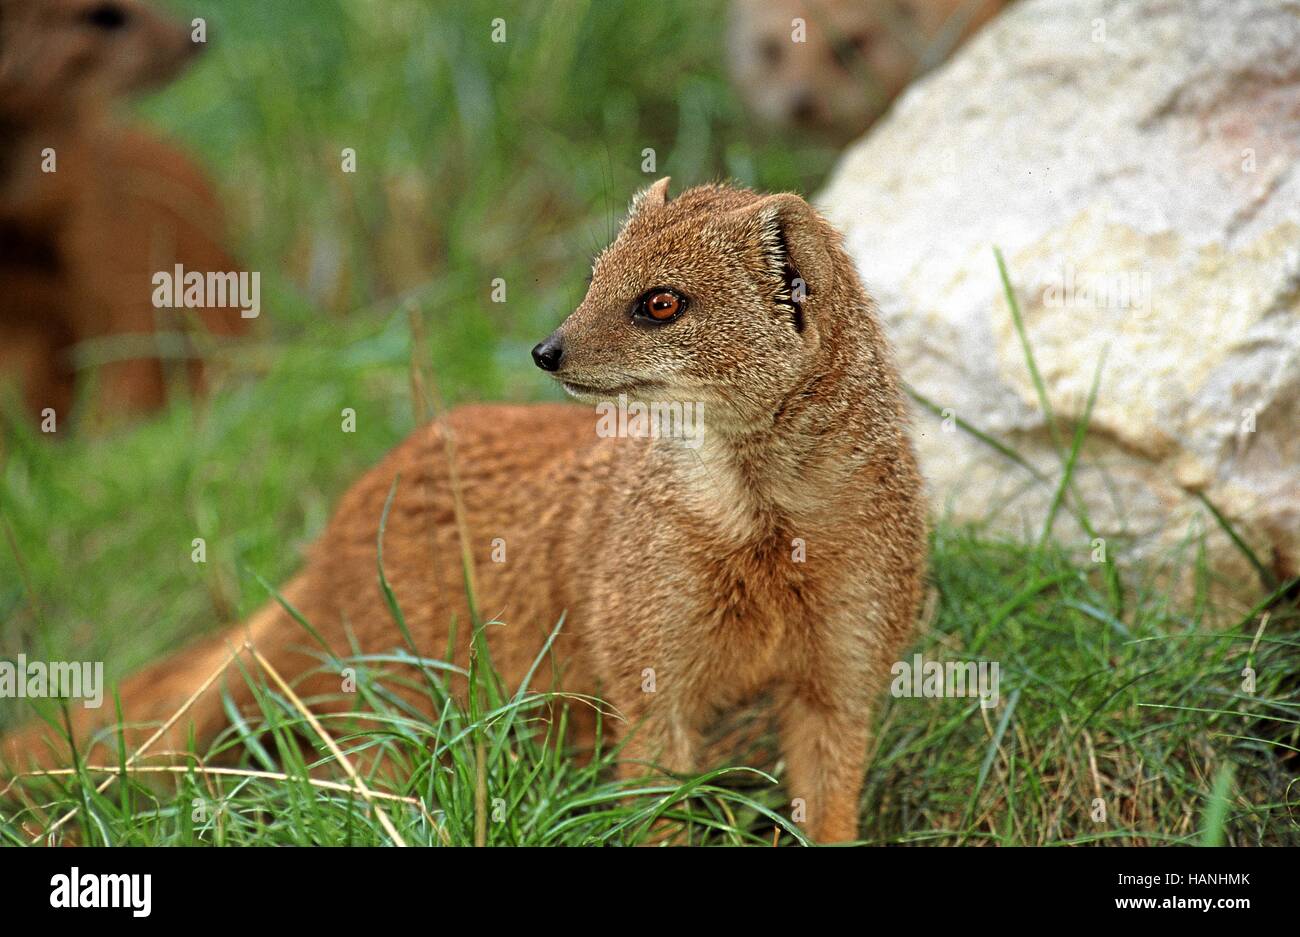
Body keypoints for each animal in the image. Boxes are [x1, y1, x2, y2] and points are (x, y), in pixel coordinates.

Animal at [0, 180, 928, 844]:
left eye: (662, 301)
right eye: (594, 280)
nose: (546, 348)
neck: (767, 532)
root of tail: (328, 542)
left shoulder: (848, 666)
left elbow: (829, 802)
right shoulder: (647, 675)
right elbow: (655, 807)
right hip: (397, 698)